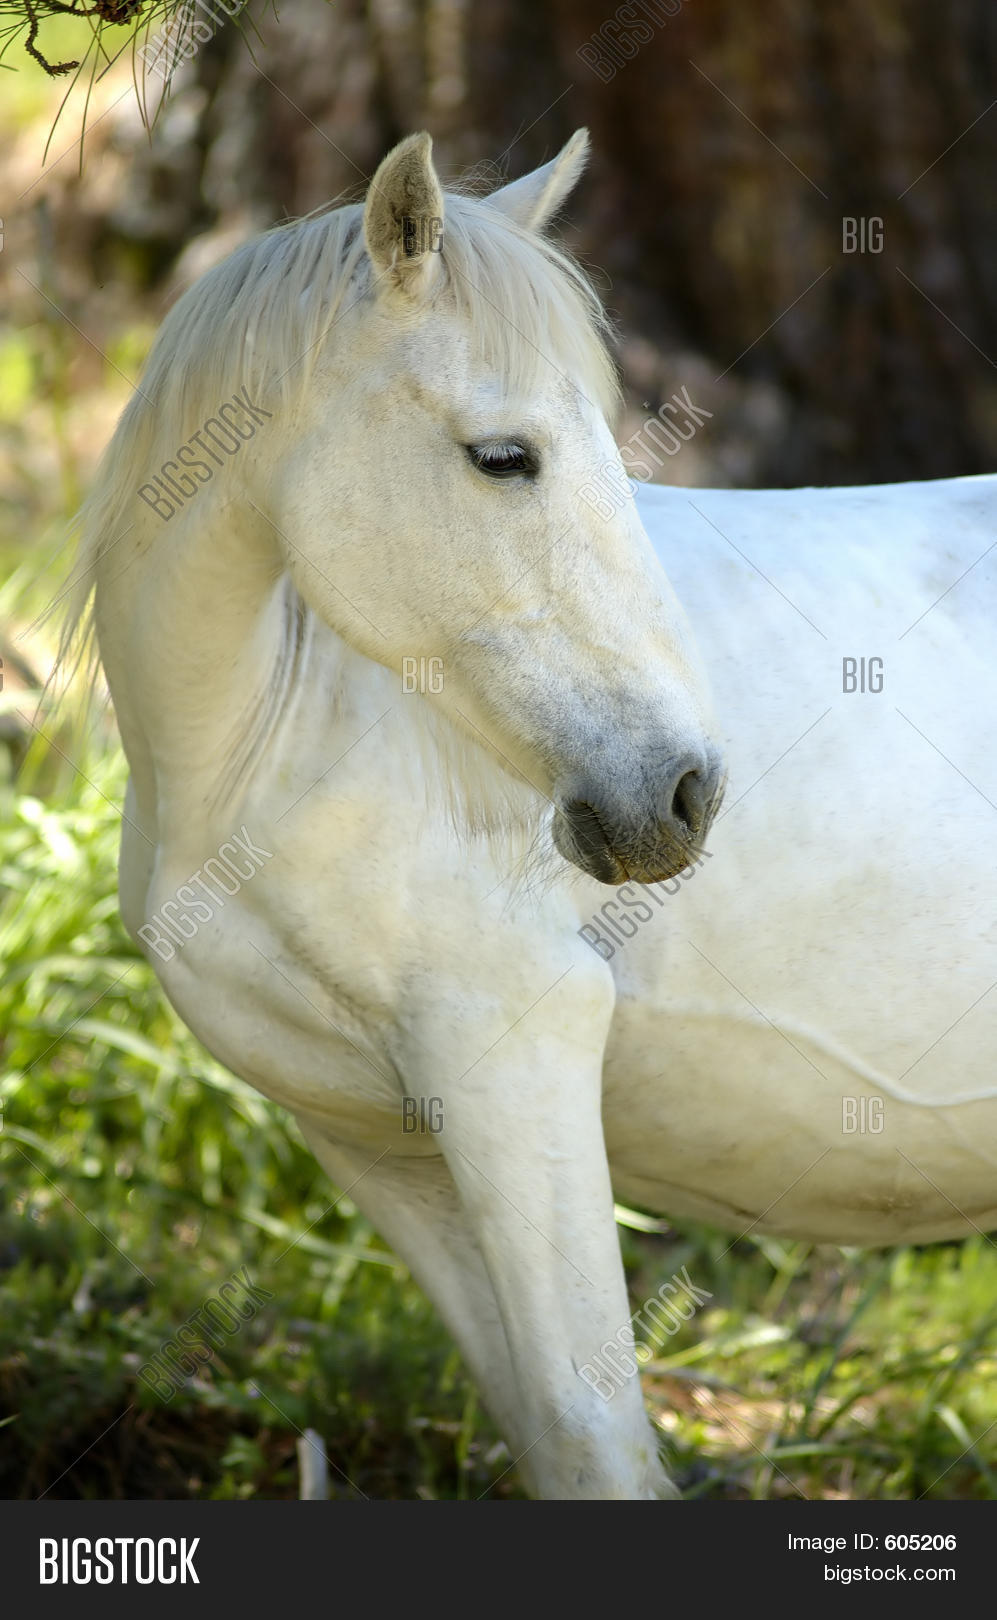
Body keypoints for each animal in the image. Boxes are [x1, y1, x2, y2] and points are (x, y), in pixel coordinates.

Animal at [61, 128, 997, 1500]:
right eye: (504, 457)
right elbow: (547, 1434)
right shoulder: (382, 1143)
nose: (681, 794)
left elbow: (589, 1430)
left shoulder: (515, 1057)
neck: (258, 748)